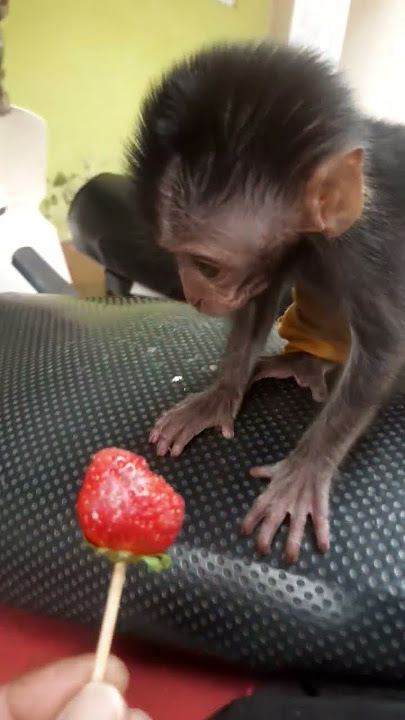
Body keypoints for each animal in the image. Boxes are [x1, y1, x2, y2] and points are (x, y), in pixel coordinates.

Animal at [126, 42, 405, 563]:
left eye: (206, 265)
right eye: (174, 255)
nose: (192, 293)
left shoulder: (364, 247)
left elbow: (383, 349)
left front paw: (304, 471)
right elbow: (259, 300)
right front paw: (219, 396)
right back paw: (304, 361)